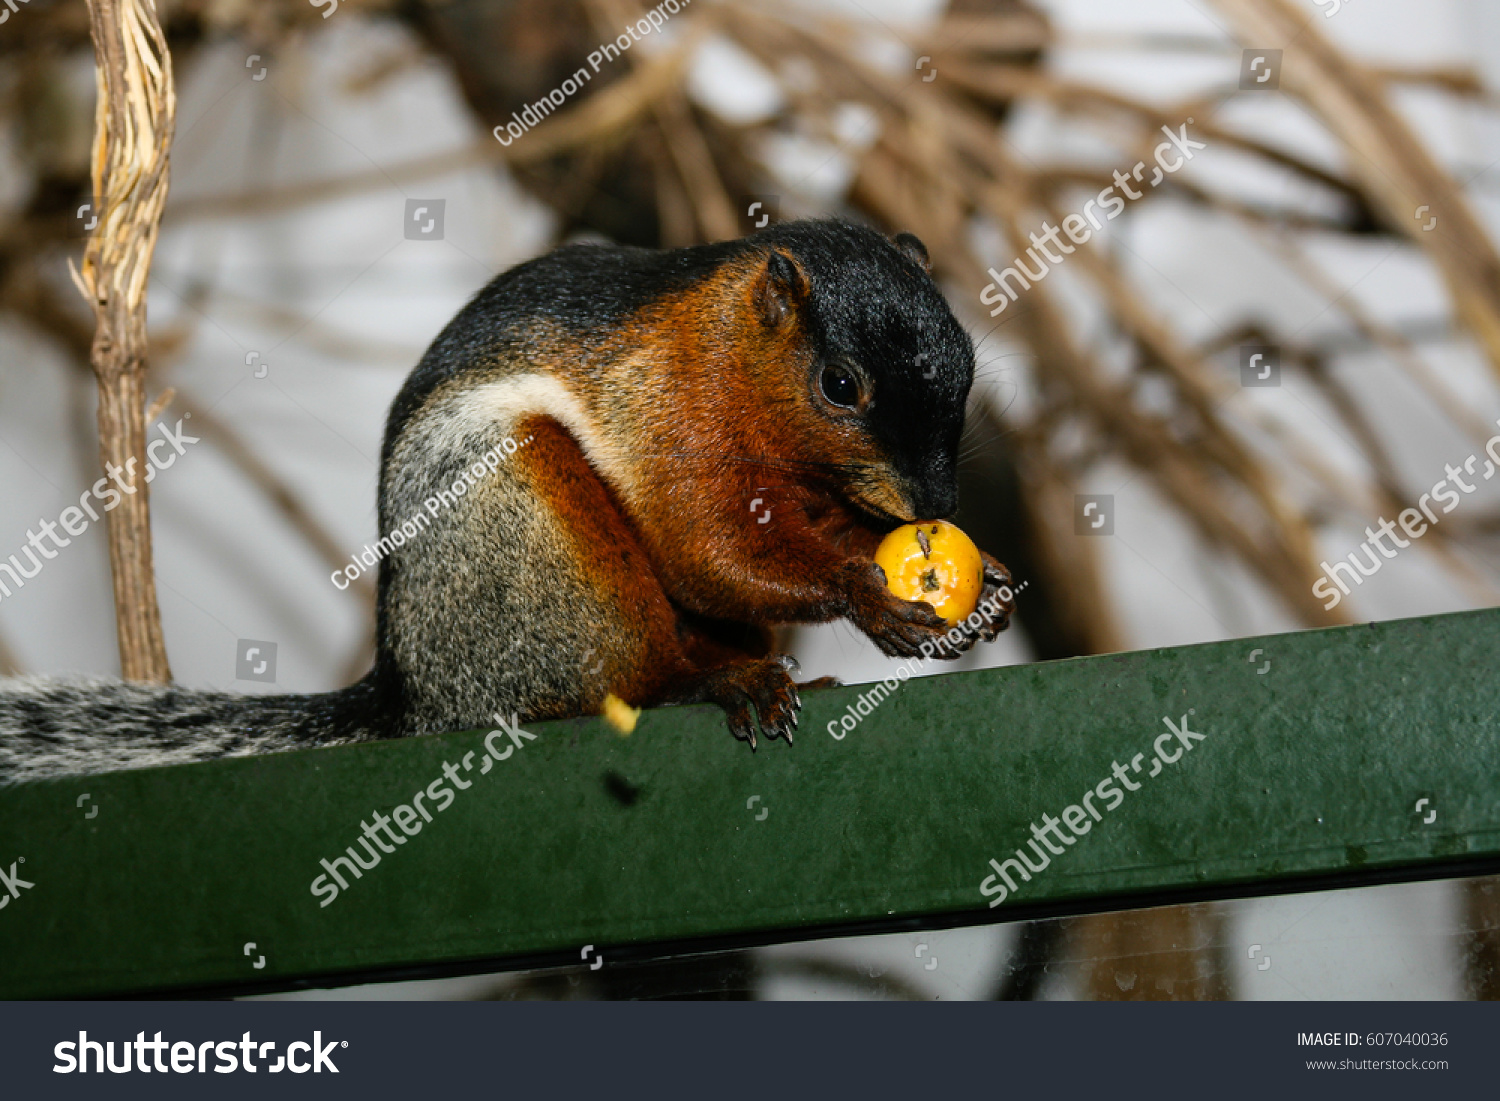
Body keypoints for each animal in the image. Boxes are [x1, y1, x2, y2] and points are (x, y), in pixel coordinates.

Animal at [0, 219, 1013, 784]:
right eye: (839, 385)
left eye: (968, 363)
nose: (932, 498)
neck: (728, 350)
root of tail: (417, 689)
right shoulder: (669, 421)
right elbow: (709, 549)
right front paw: (869, 595)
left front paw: (984, 582)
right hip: (529, 534)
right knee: (630, 675)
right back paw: (721, 681)